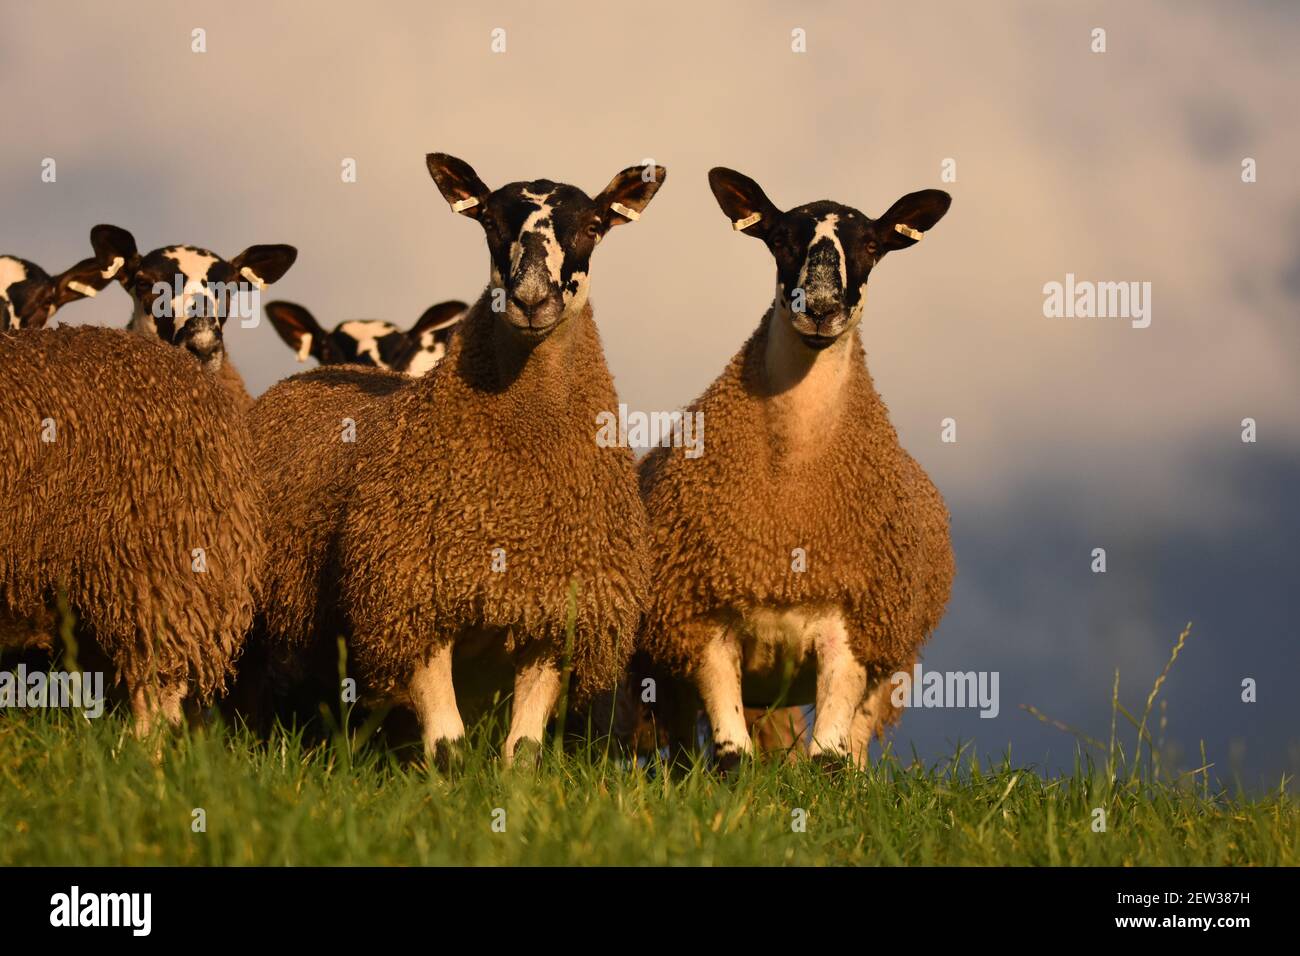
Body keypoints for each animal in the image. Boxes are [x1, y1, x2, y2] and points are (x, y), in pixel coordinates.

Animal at [637, 168, 955, 770]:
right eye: (781, 239)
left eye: (873, 245)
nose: (822, 308)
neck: (793, 491)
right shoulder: (705, 619)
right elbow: (732, 757)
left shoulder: (850, 628)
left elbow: (828, 758)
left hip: (889, 657)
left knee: (855, 744)